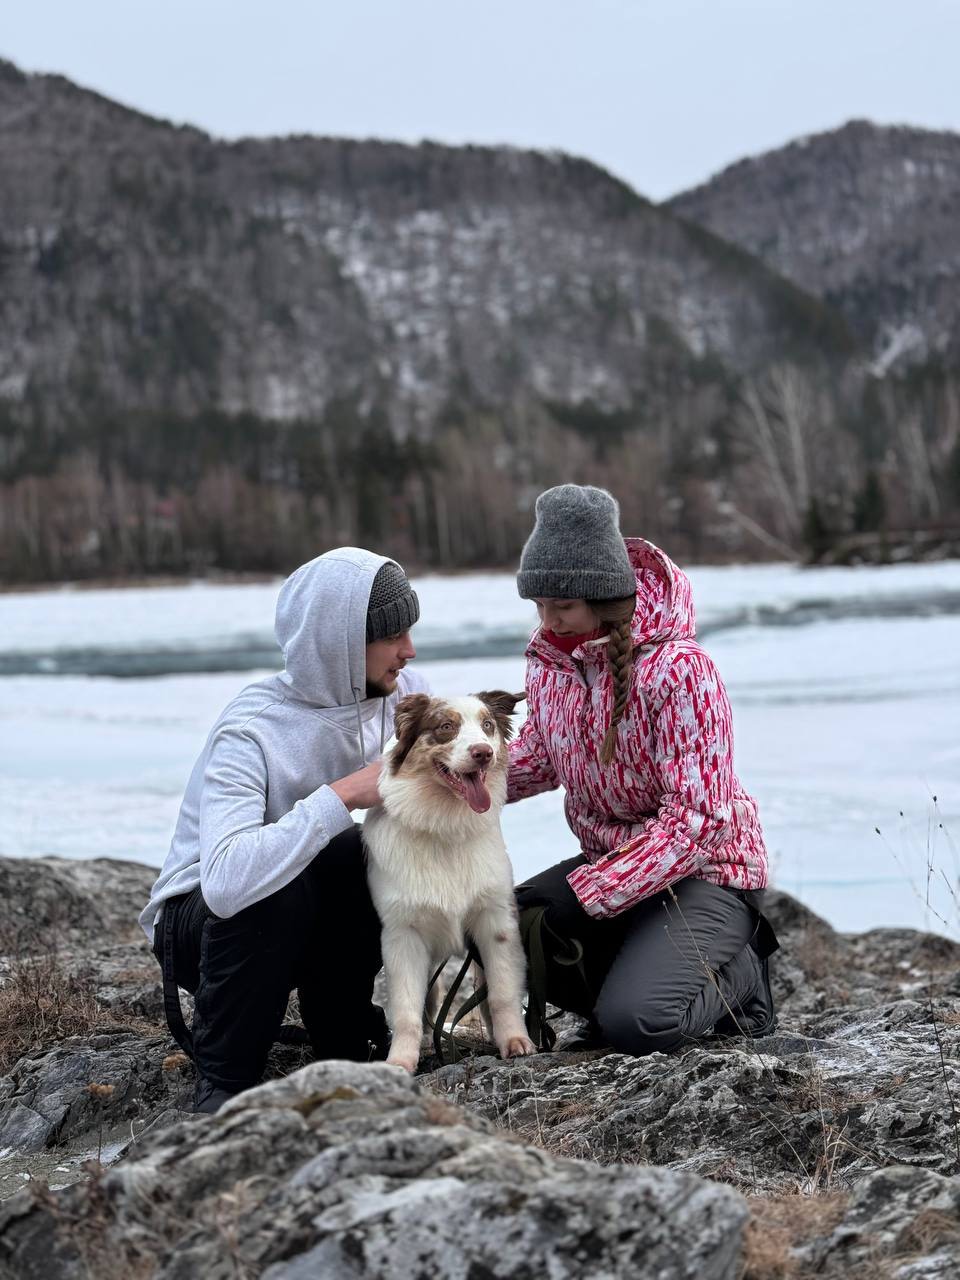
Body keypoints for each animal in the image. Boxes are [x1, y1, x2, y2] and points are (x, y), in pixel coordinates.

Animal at [363, 691, 537, 1070]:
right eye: (446, 727)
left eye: (487, 726)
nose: (483, 753)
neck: (445, 825)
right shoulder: (403, 936)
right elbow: (407, 1011)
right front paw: (400, 1062)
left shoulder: (496, 921)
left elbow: (502, 994)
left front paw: (516, 1041)